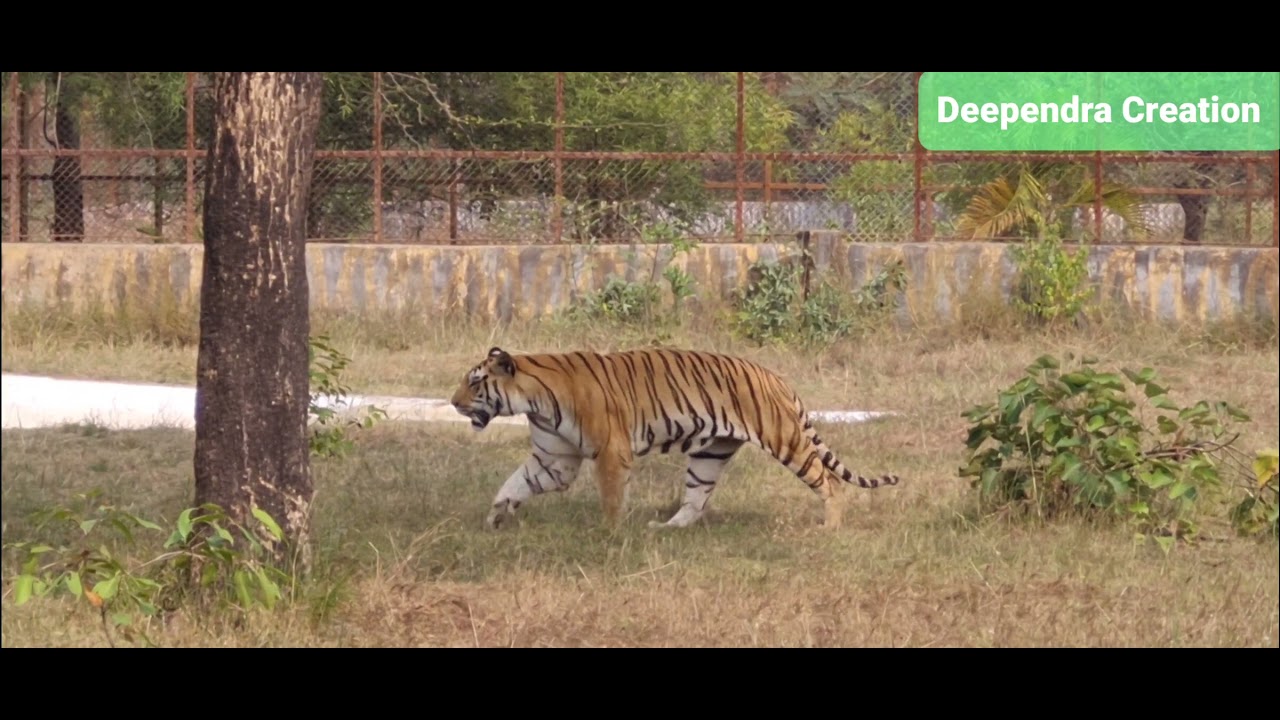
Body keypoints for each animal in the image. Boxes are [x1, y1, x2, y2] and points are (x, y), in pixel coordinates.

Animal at [450, 346, 900, 531]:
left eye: (475, 383)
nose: (452, 402)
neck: (534, 400)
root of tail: (774, 376)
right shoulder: (553, 460)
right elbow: (513, 485)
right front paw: (494, 518)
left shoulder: (610, 452)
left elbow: (611, 498)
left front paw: (609, 534)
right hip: (710, 455)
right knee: (695, 501)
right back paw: (666, 528)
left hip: (785, 439)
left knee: (830, 480)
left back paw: (829, 527)